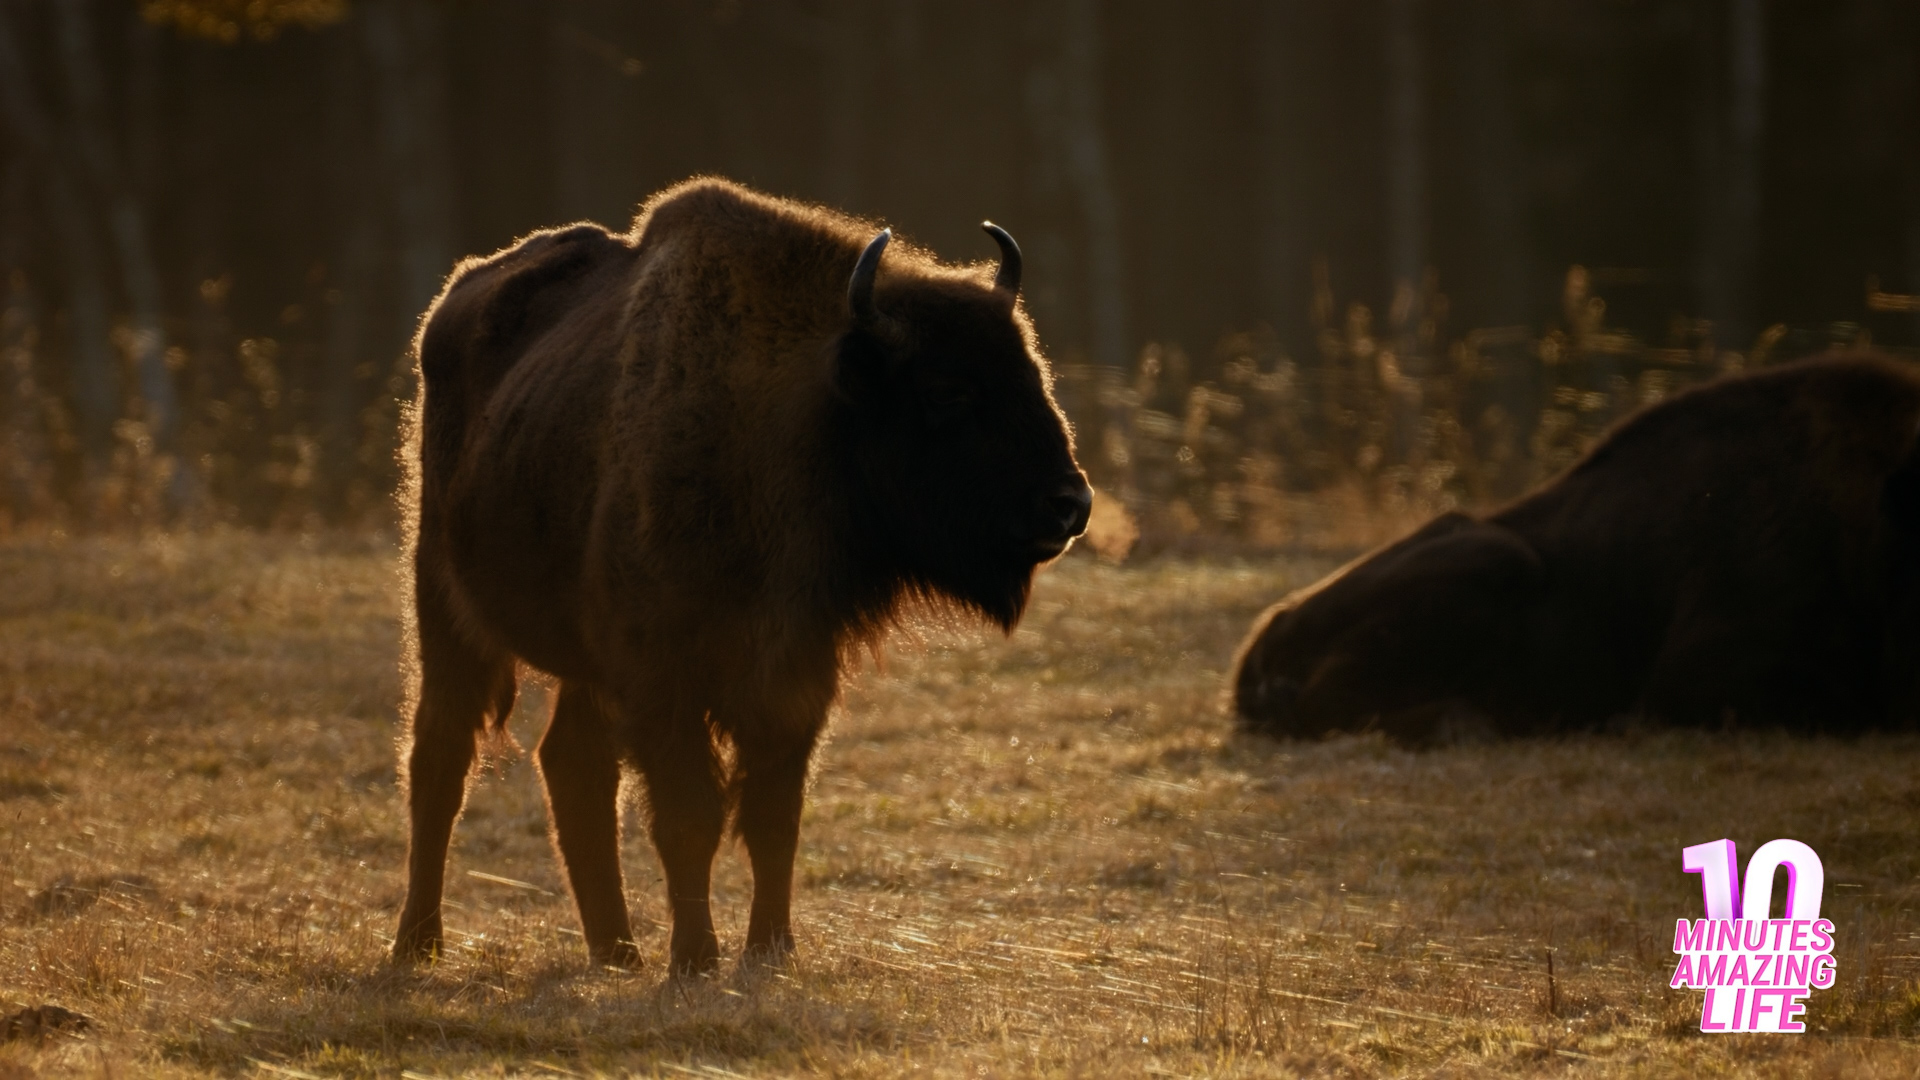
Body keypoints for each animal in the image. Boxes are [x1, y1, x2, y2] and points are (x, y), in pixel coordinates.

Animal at [393, 179, 1091, 974]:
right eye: (948, 390)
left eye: (1031, 370)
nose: (1070, 504)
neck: (790, 417)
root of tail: (454, 299)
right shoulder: (661, 677)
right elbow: (690, 817)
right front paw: (697, 960)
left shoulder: (792, 675)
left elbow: (772, 819)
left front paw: (770, 953)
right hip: (444, 605)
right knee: (441, 757)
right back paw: (419, 944)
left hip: (581, 665)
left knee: (572, 766)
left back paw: (617, 951)